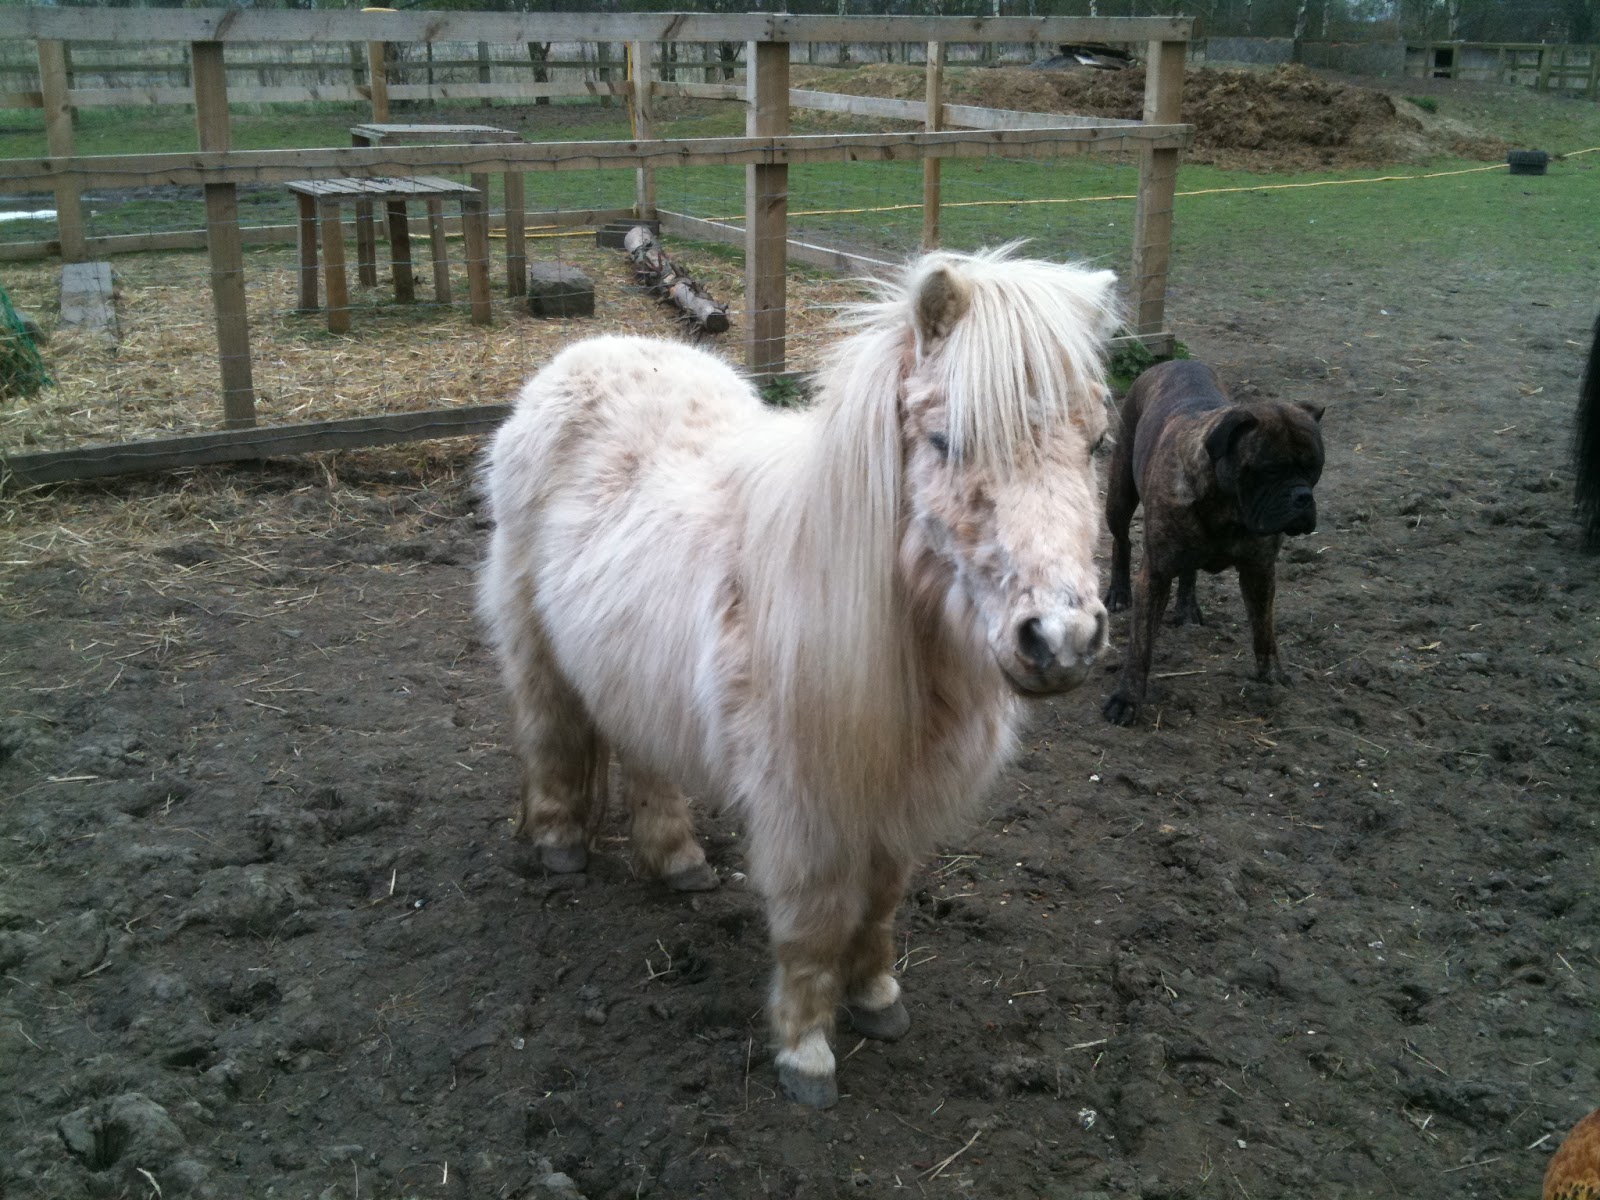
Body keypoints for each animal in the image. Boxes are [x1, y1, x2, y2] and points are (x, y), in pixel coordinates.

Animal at [478, 246, 1120, 1107]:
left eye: (1098, 443)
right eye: (946, 440)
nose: (1060, 639)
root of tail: (582, 357)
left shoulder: (895, 798)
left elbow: (879, 903)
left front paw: (877, 1000)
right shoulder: (806, 805)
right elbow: (814, 920)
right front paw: (807, 1050)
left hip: (633, 670)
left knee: (644, 760)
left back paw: (677, 860)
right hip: (537, 650)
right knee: (551, 737)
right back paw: (557, 849)